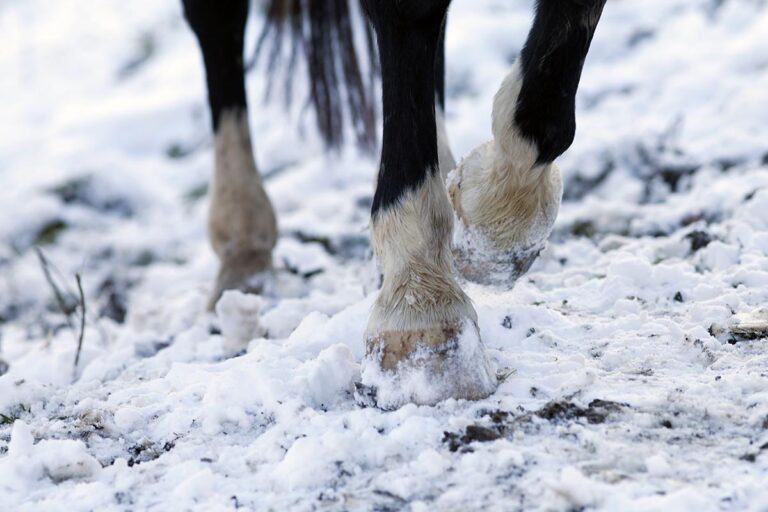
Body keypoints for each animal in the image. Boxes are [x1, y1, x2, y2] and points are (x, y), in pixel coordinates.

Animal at [181, 0, 607, 408]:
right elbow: (412, 13)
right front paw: (422, 303)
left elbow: (547, 112)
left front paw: (489, 231)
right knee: (218, 18)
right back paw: (242, 243)